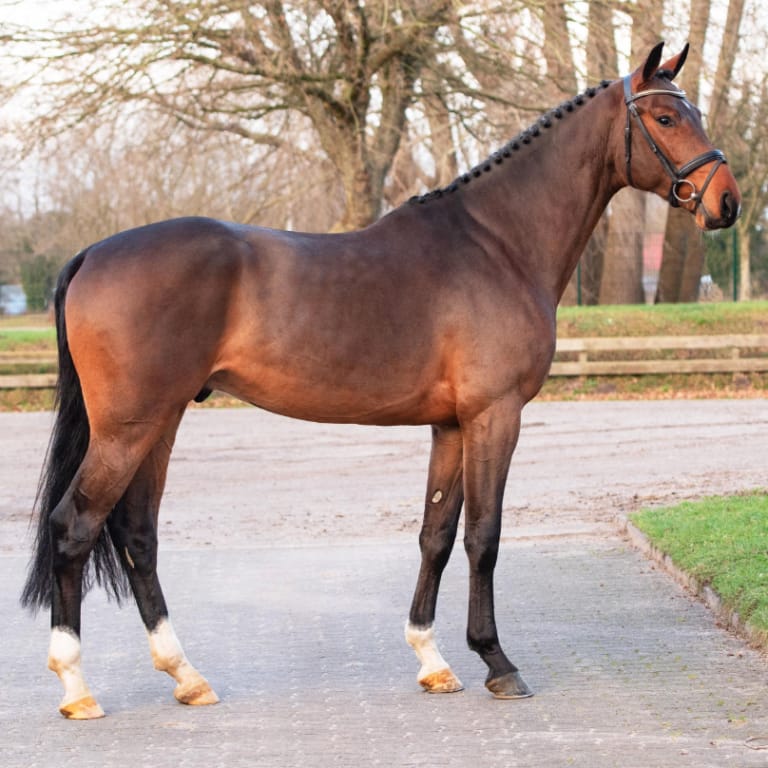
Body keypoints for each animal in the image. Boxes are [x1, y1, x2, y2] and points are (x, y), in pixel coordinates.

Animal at [21, 42, 740, 719]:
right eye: (667, 117)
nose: (727, 202)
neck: (499, 244)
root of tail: (92, 254)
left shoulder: (450, 424)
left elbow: (436, 534)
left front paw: (433, 660)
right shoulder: (495, 415)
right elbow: (484, 536)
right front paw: (497, 662)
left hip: (161, 421)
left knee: (137, 532)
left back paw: (186, 676)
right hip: (129, 426)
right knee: (75, 526)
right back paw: (77, 687)